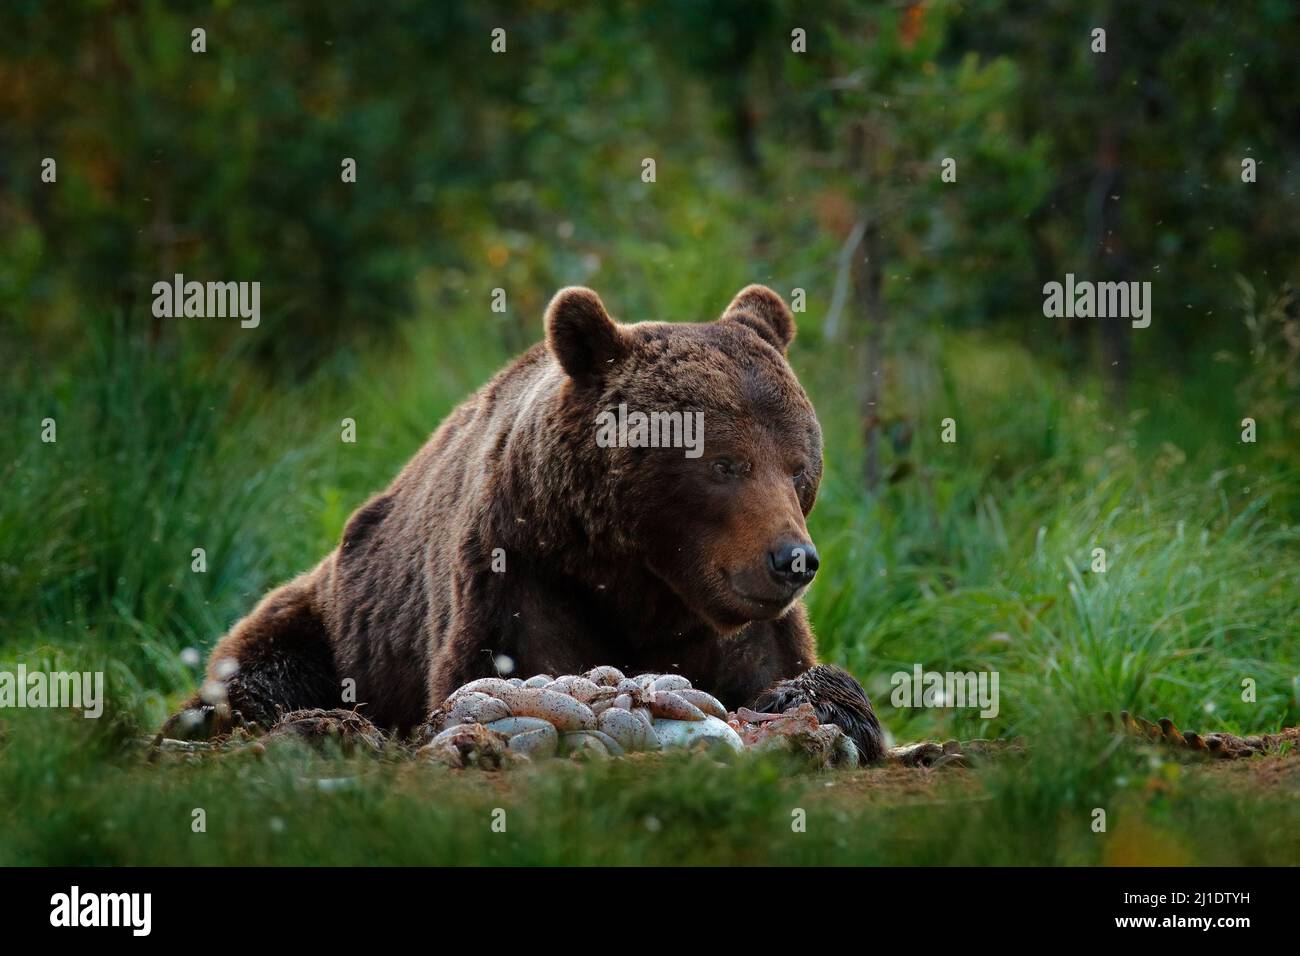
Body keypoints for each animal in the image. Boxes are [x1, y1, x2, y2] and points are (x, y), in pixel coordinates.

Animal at [162, 284, 885, 761]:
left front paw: (815, 704)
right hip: (329, 624)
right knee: (258, 674)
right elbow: (515, 670)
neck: (634, 574)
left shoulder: (728, 620)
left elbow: (780, 670)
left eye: (799, 466)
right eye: (726, 464)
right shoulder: (519, 573)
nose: (792, 560)